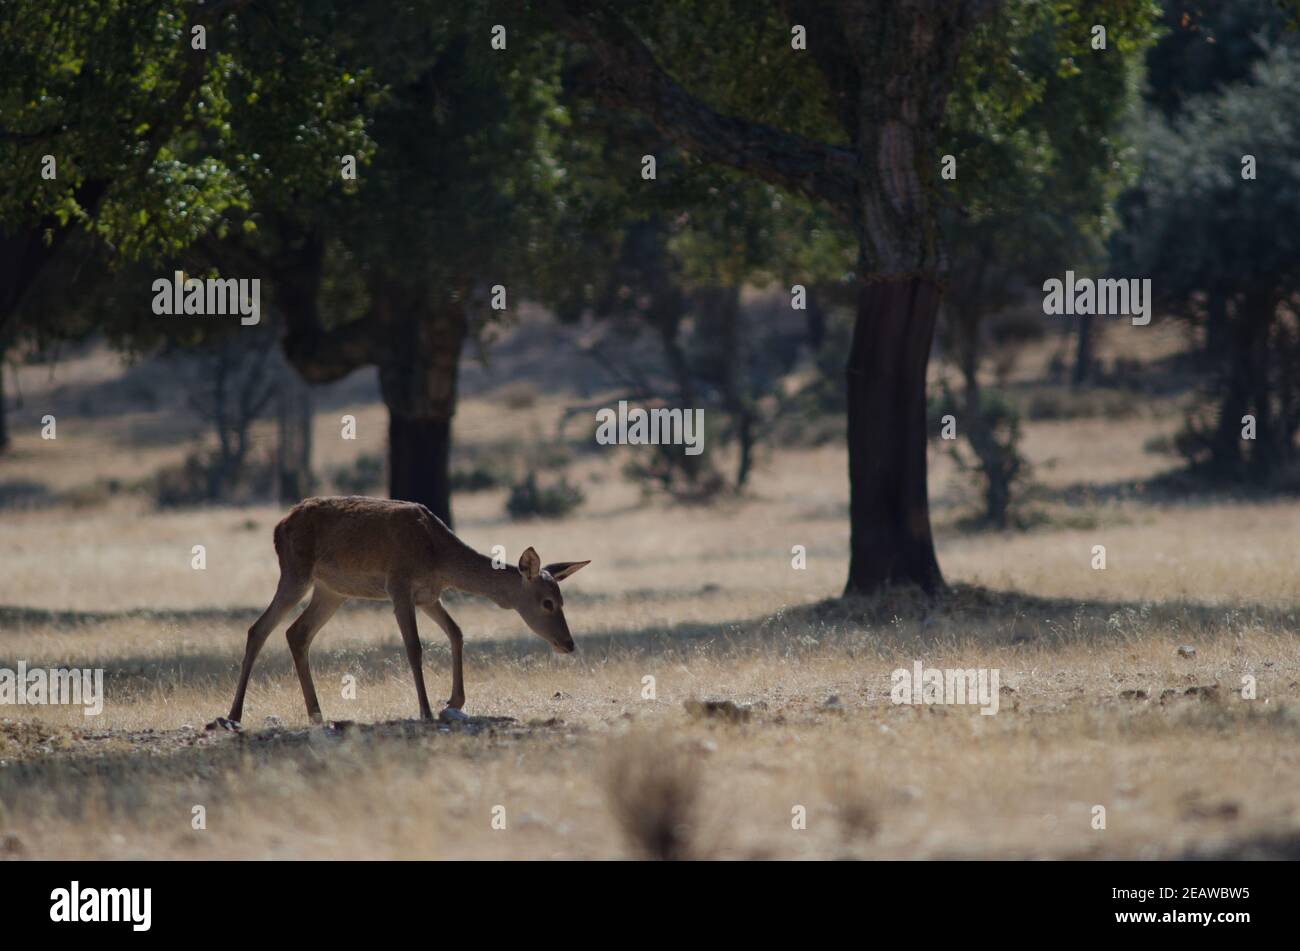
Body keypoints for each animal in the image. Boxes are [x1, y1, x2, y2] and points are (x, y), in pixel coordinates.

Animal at [216, 496, 590, 730]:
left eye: (563, 600)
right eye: (548, 602)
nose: (569, 644)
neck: (438, 555)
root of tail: (278, 527)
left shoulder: (428, 595)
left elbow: (457, 632)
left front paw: (454, 700)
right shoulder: (398, 585)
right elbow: (414, 647)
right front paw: (425, 710)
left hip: (331, 590)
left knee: (296, 632)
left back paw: (317, 714)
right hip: (296, 572)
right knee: (258, 628)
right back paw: (234, 714)